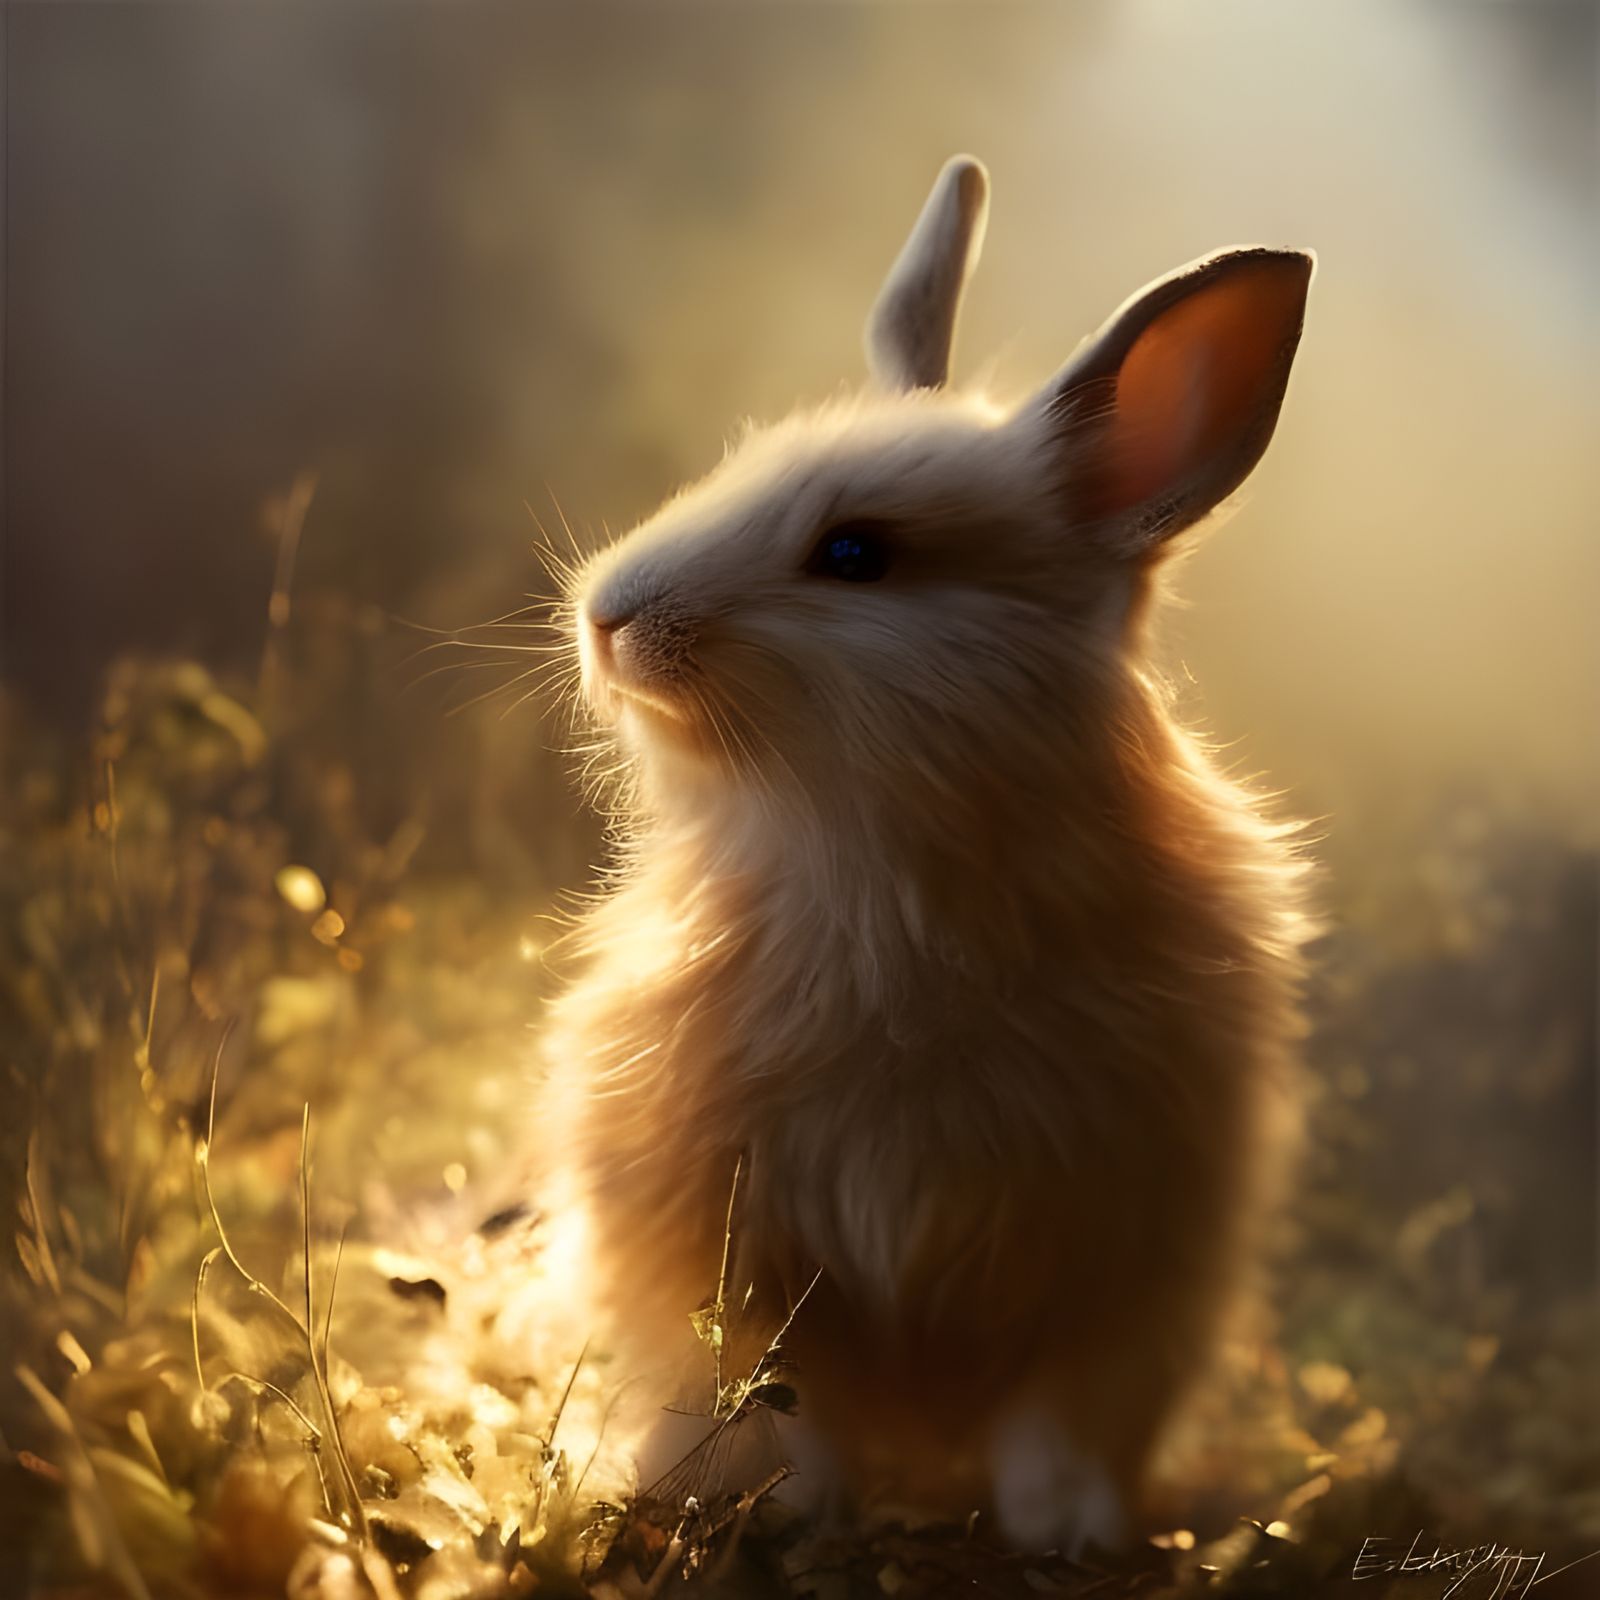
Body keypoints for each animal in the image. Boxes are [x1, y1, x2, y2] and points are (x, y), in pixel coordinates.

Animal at [538, 154, 1316, 1554]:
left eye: (856, 553)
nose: (607, 615)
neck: (887, 884)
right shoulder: (722, 1235)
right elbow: (763, 1391)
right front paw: (777, 1509)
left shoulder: (1120, 1262)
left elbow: (1058, 1419)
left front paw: (1069, 1530)